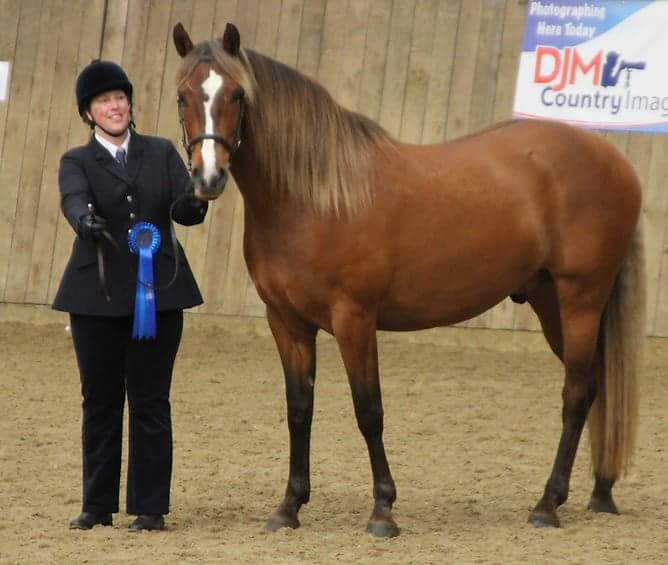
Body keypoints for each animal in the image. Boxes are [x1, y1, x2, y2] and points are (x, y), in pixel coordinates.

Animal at [172, 22, 645, 537]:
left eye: (237, 94)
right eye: (182, 96)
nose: (209, 178)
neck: (316, 198)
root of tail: (613, 159)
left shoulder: (355, 320)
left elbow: (369, 411)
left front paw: (383, 510)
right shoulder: (287, 323)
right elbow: (299, 410)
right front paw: (289, 506)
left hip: (581, 299)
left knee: (576, 394)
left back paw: (547, 505)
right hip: (552, 305)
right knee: (595, 387)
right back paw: (600, 492)